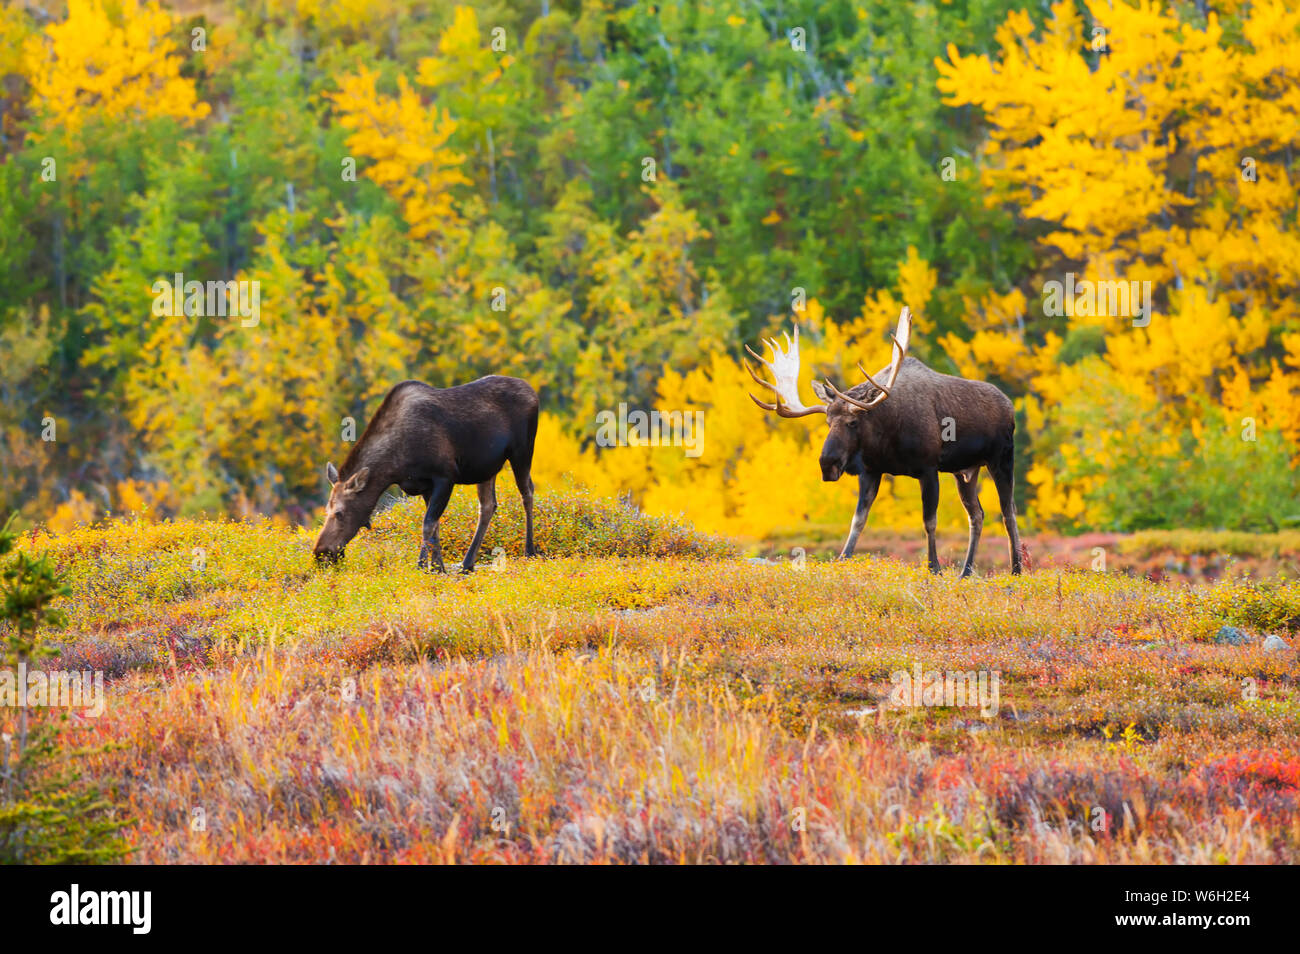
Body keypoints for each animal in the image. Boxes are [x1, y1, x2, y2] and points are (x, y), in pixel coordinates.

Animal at [313, 375, 539, 573]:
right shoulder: (424, 485)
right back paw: (467, 563)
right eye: (326, 509)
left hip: (522, 451)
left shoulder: (445, 477)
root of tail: (532, 392)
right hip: (487, 468)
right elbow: (435, 527)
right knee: (488, 505)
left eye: (340, 513)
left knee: (527, 492)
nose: (320, 553)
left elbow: (427, 524)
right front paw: (438, 567)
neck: (394, 466)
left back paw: (530, 550)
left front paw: (422, 566)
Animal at [744, 306, 1023, 576]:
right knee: (977, 514)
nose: (827, 463)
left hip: (1001, 458)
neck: (887, 437)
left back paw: (1016, 569)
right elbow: (858, 519)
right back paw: (966, 572)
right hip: (965, 471)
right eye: (828, 422)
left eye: (853, 422)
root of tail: (1009, 405)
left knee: (1008, 511)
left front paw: (934, 568)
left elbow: (929, 521)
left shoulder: (928, 468)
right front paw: (843, 559)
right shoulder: (871, 471)